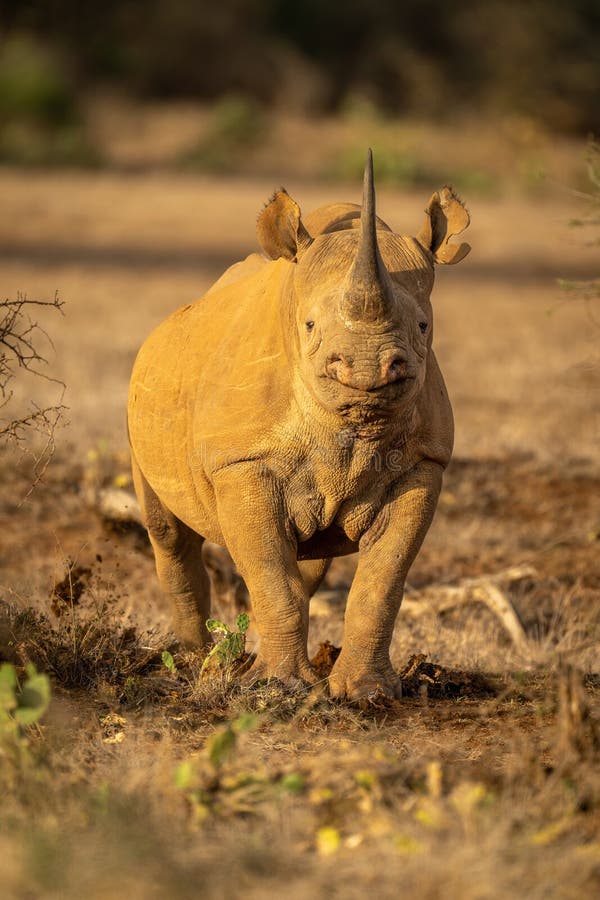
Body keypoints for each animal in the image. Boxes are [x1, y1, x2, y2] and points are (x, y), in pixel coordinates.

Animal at [128, 151, 470, 700]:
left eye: (423, 326)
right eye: (309, 326)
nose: (369, 368)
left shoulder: (424, 463)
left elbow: (381, 581)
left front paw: (365, 694)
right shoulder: (242, 461)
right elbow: (271, 573)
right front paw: (278, 688)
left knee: (307, 565)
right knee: (170, 534)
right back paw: (196, 663)